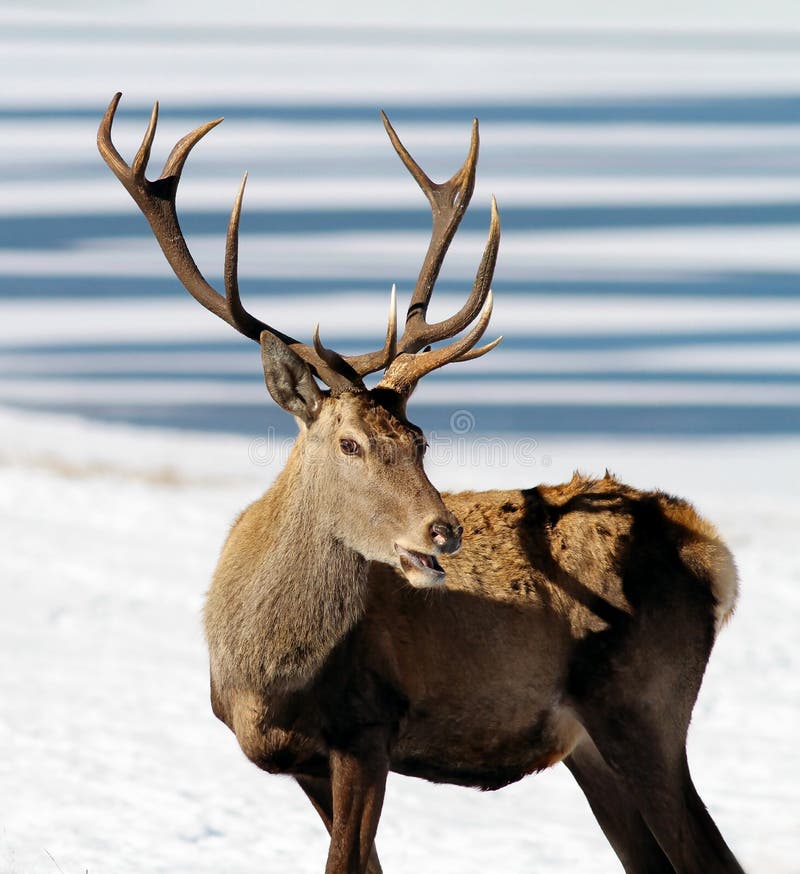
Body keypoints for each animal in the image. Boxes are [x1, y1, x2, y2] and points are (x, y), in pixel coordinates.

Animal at [98, 92, 745, 874]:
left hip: (643, 708)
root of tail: (713, 556)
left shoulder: (368, 731)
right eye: (349, 443)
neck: (264, 674)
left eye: (421, 440)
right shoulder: (307, 764)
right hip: (590, 746)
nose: (444, 531)